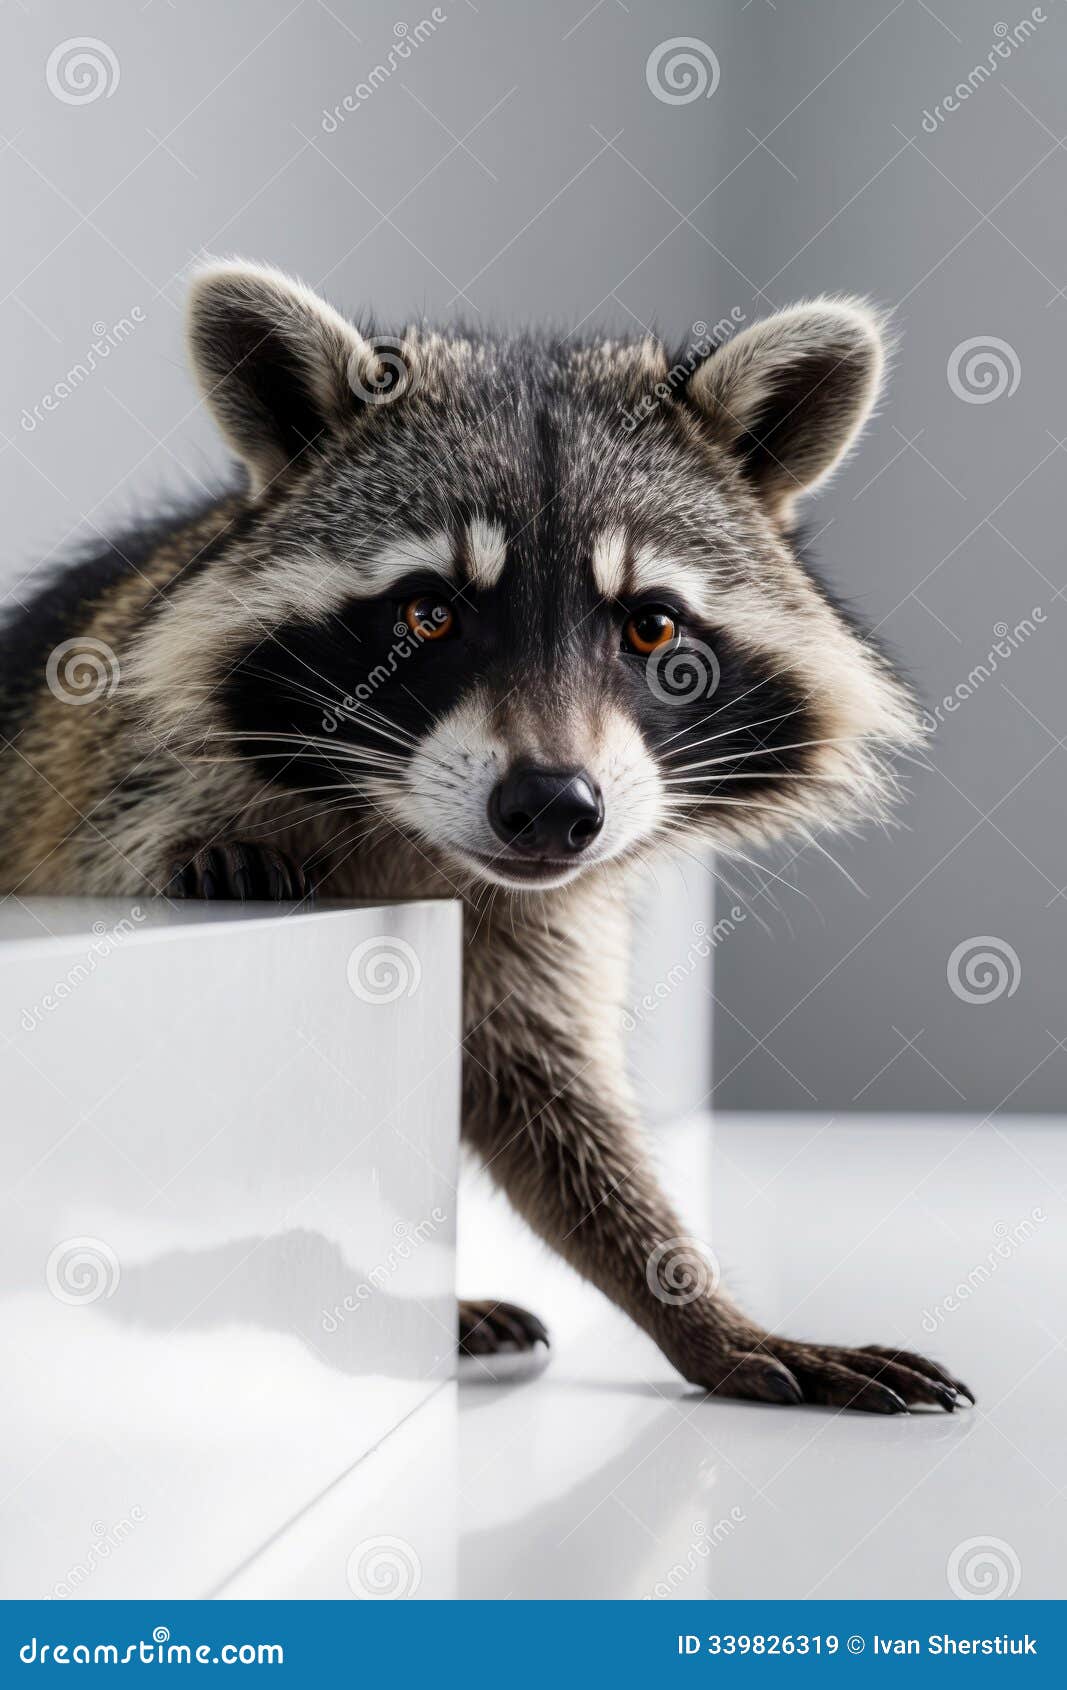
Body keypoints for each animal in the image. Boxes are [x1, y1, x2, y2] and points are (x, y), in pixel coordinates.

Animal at [0, 261, 971, 1412]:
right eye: (427, 614)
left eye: (651, 626)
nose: (551, 804)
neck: (408, 829)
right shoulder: (110, 773)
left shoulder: (546, 910)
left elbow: (550, 1106)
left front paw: (696, 1308)